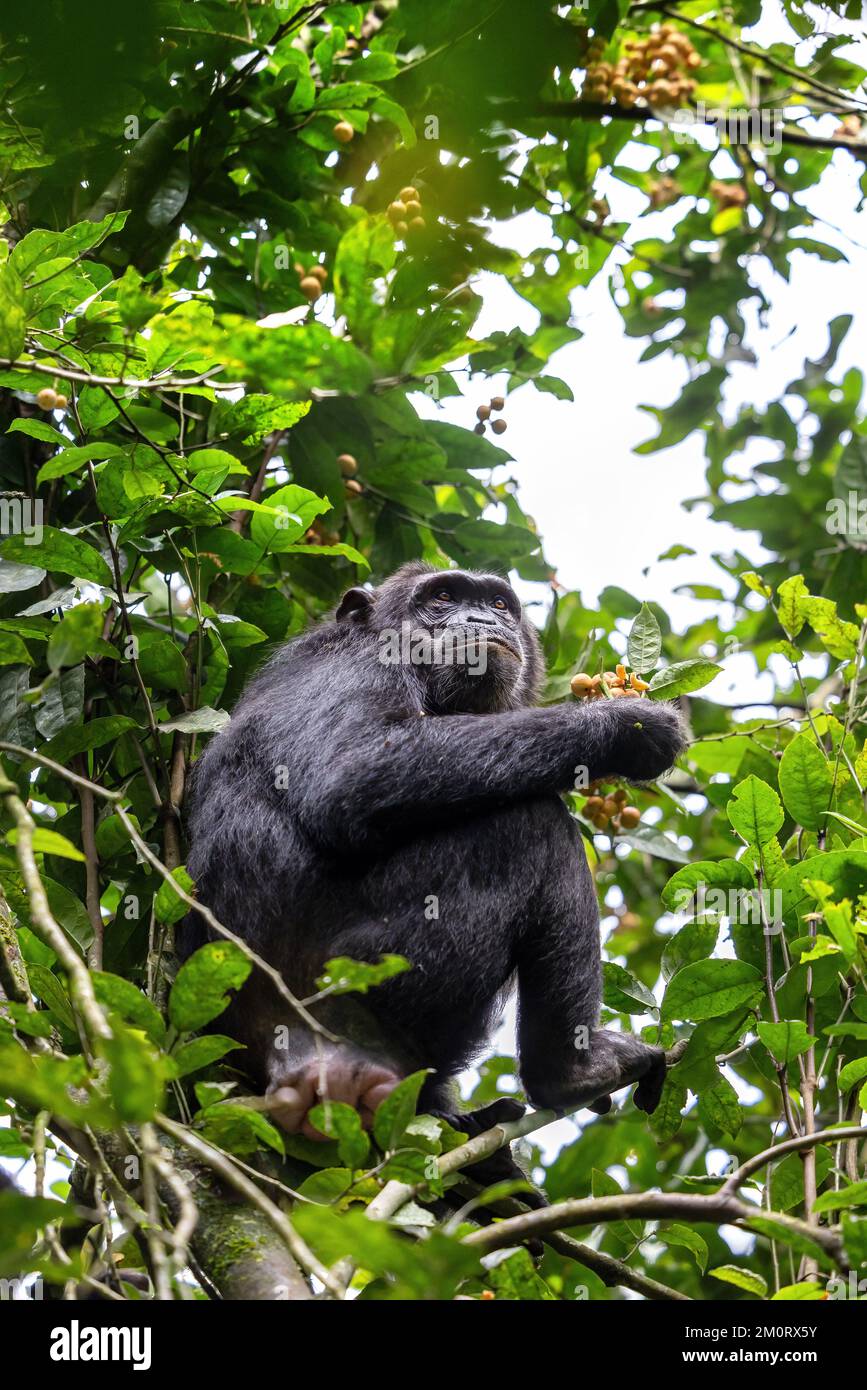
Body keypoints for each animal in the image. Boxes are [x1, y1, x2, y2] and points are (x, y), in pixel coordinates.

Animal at [181, 562, 687, 1143]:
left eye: (497, 603)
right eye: (443, 597)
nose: (482, 618)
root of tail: (282, 1053)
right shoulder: (353, 670)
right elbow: (351, 772)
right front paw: (627, 725)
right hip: (363, 968)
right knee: (531, 823)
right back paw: (571, 1073)